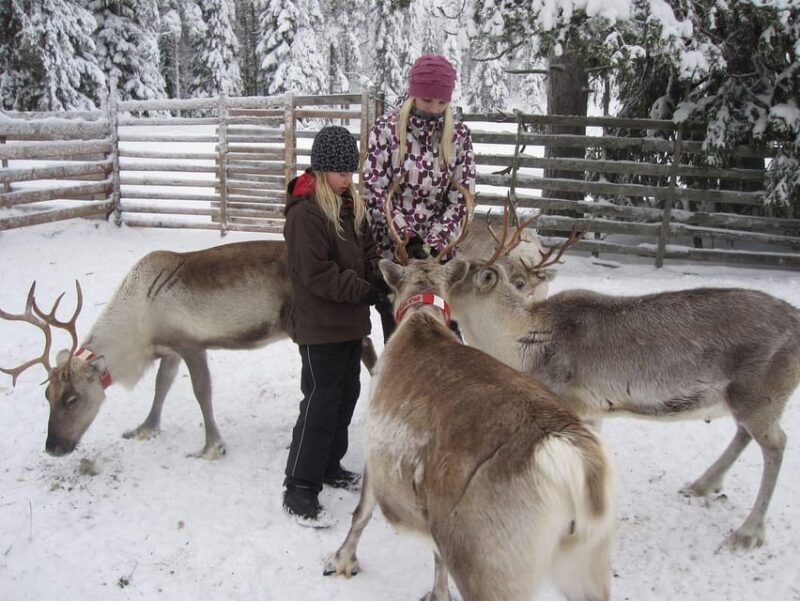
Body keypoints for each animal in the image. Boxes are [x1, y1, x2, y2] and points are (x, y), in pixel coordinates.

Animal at [323, 254, 617, 601]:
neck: (421, 320)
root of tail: (572, 459)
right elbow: (437, 556)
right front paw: (437, 593)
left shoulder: (376, 452)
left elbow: (362, 512)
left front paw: (341, 560)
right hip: (587, 559)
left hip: (488, 562)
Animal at [438, 218, 800, 551]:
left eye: (458, 271)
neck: (520, 344)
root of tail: (796, 319)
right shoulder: (593, 410)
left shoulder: (566, 402)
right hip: (743, 398)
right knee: (744, 433)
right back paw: (702, 485)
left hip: (760, 392)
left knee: (776, 444)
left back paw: (747, 533)